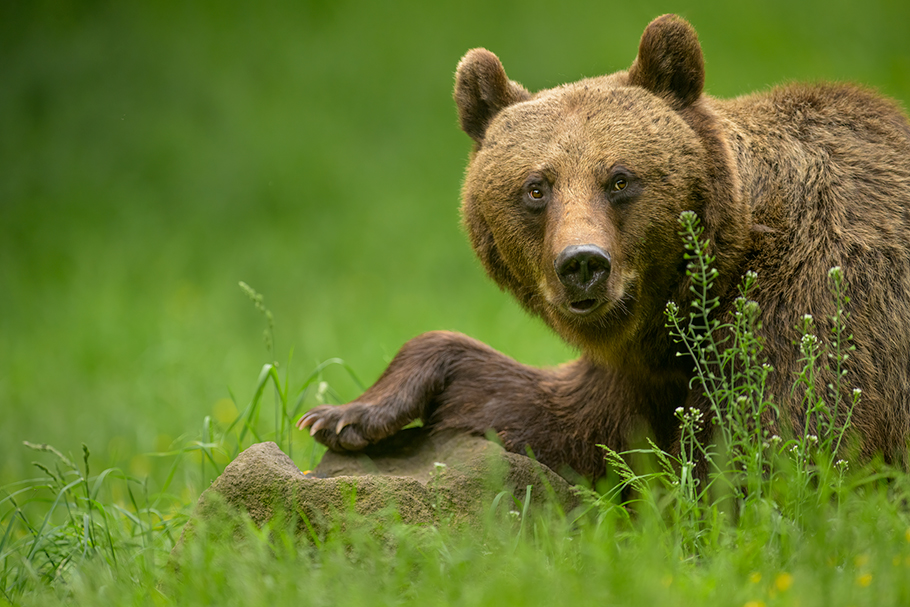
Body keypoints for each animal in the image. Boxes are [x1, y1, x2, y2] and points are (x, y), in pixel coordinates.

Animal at [298, 14, 910, 481]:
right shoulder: (641, 375)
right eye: (536, 187)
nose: (583, 264)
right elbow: (564, 423)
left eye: (619, 179)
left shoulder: (822, 304)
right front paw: (347, 413)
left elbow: (777, 453)